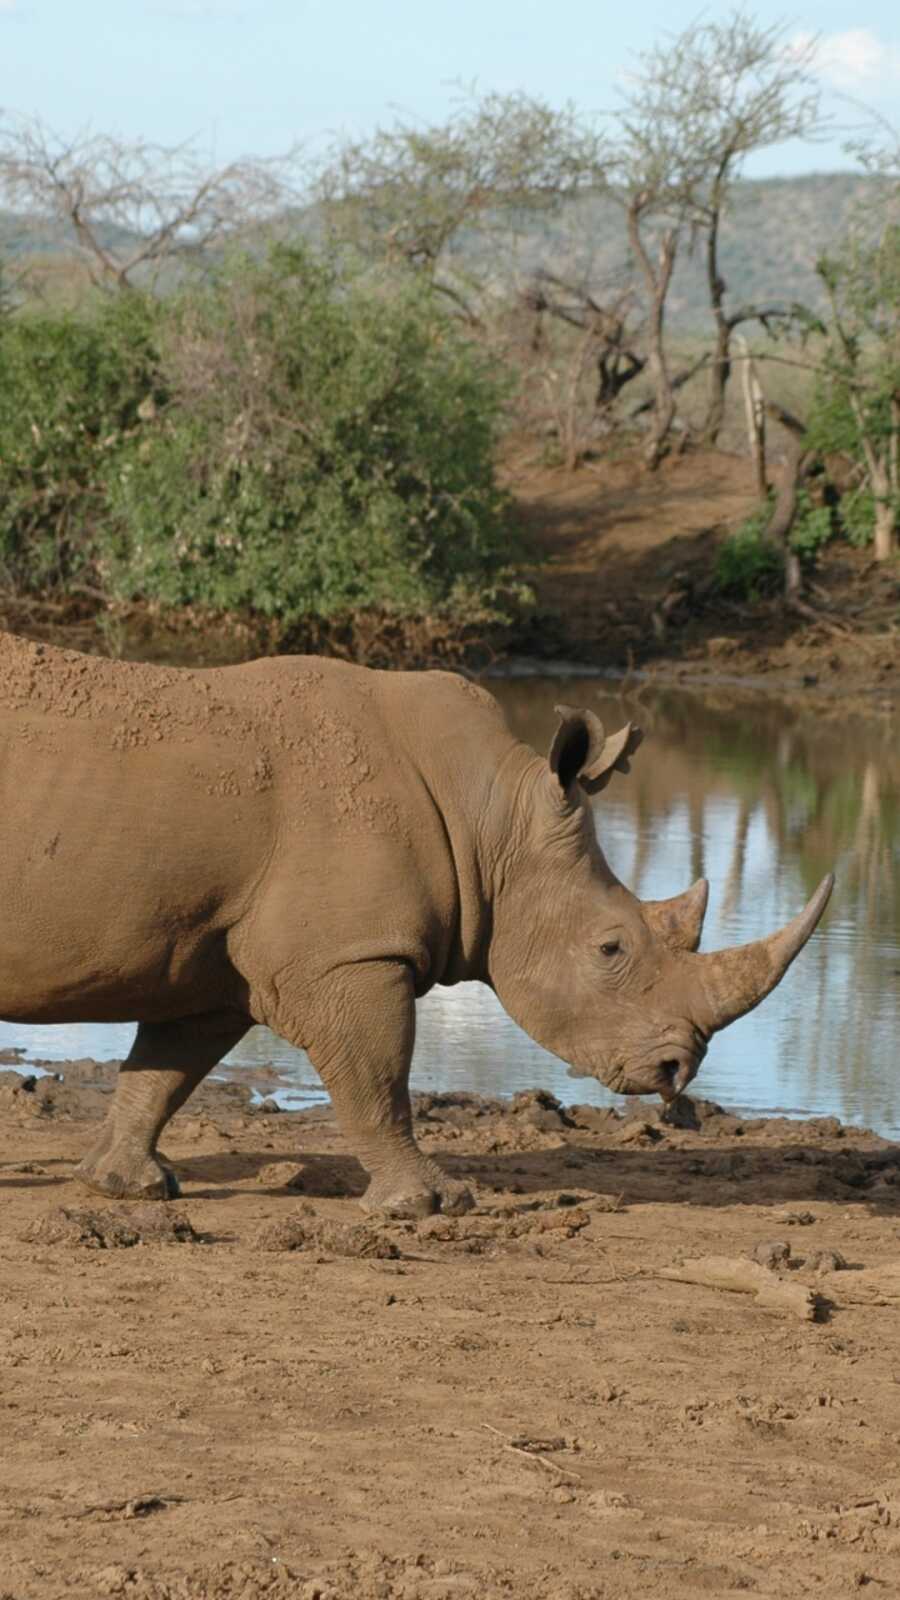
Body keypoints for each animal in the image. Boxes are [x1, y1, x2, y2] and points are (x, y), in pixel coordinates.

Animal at [0, 632, 832, 1216]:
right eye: (610, 948)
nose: (675, 1070)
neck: (491, 818)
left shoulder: (218, 955)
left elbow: (165, 1069)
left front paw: (127, 1185)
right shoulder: (350, 954)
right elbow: (378, 1078)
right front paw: (433, 1203)